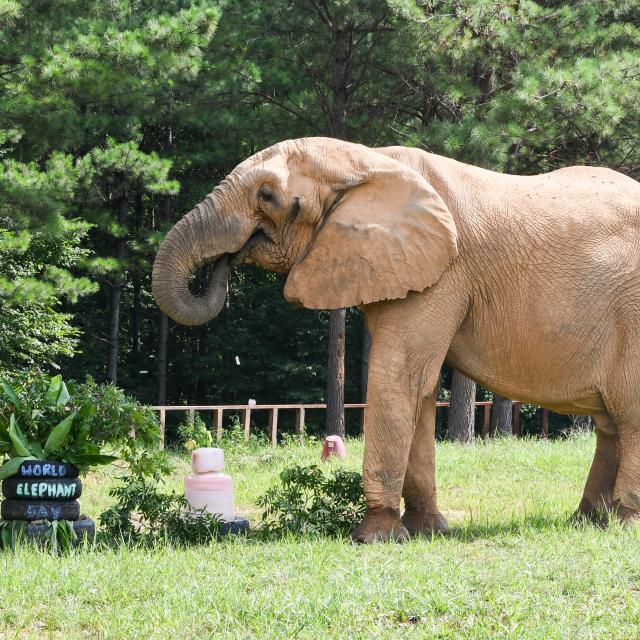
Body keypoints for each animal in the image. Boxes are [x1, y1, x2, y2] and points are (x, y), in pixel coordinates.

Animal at [152, 137, 640, 542]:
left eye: (268, 196)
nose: (227, 262)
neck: (368, 159)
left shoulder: (442, 274)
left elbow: (398, 376)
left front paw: (375, 537)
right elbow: (419, 387)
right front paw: (428, 531)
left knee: (628, 414)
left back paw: (622, 523)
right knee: (612, 423)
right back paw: (587, 522)